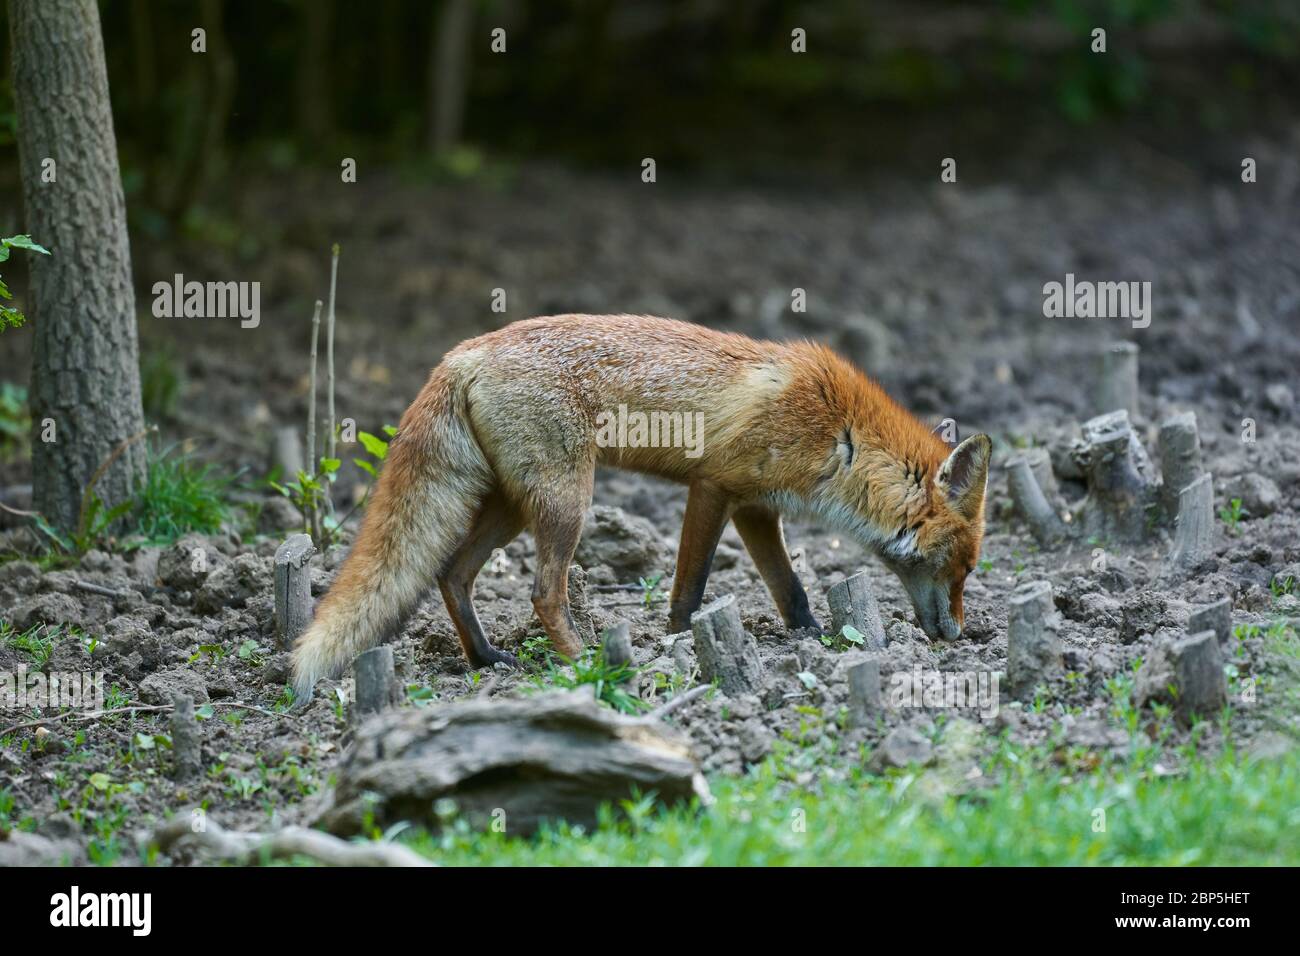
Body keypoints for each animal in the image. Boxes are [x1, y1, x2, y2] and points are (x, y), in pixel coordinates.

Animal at [290, 313, 991, 701]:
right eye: (963, 570)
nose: (959, 636)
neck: (840, 434)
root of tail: (465, 350)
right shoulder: (714, 488)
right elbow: (691, 589)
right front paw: (683, 647)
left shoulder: (756, 508)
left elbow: (790, 590)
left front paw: (813, 641)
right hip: (567, 502)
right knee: (543, 592)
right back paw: (585, 667)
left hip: (512, 506)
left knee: (452, 573)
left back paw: (488, 662)